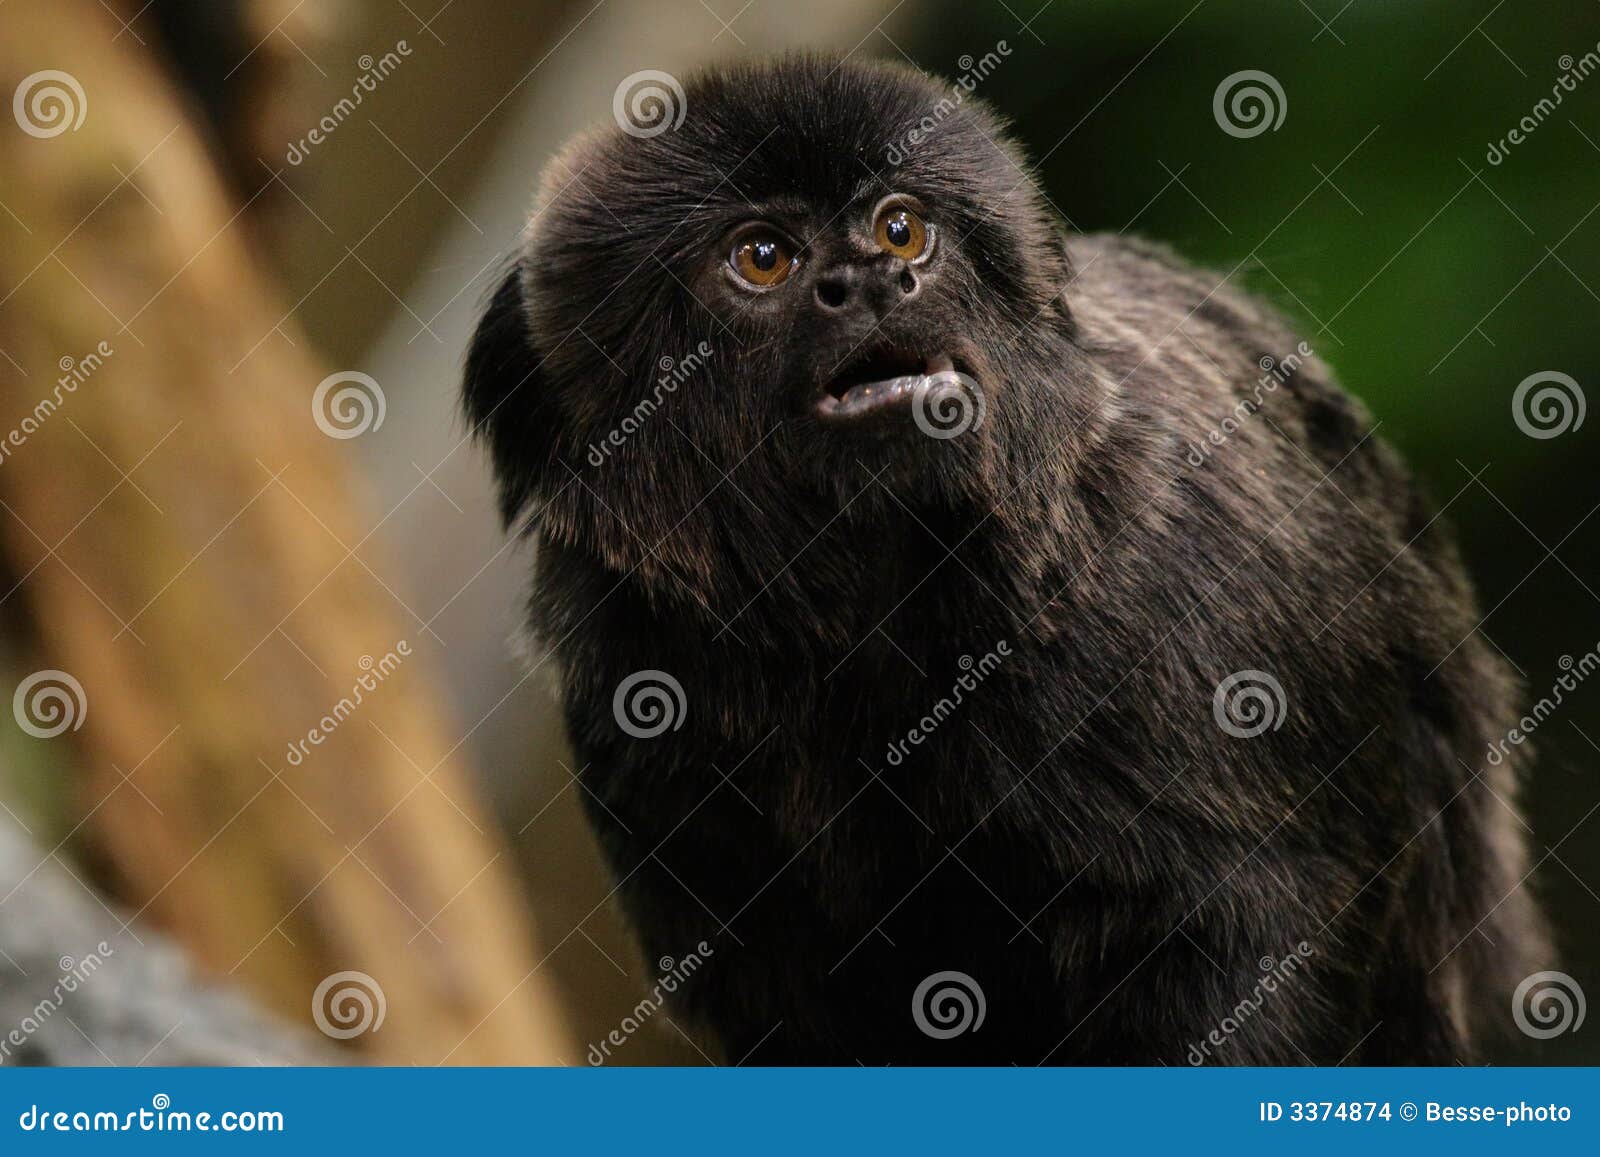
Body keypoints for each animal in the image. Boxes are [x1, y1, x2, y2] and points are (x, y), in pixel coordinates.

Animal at [463, 55, 1547, 1065]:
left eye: (902, 229)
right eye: (762, 257)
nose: (872, 280)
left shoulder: (1179, 591)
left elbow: (1251, 926)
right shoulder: (638, 685)